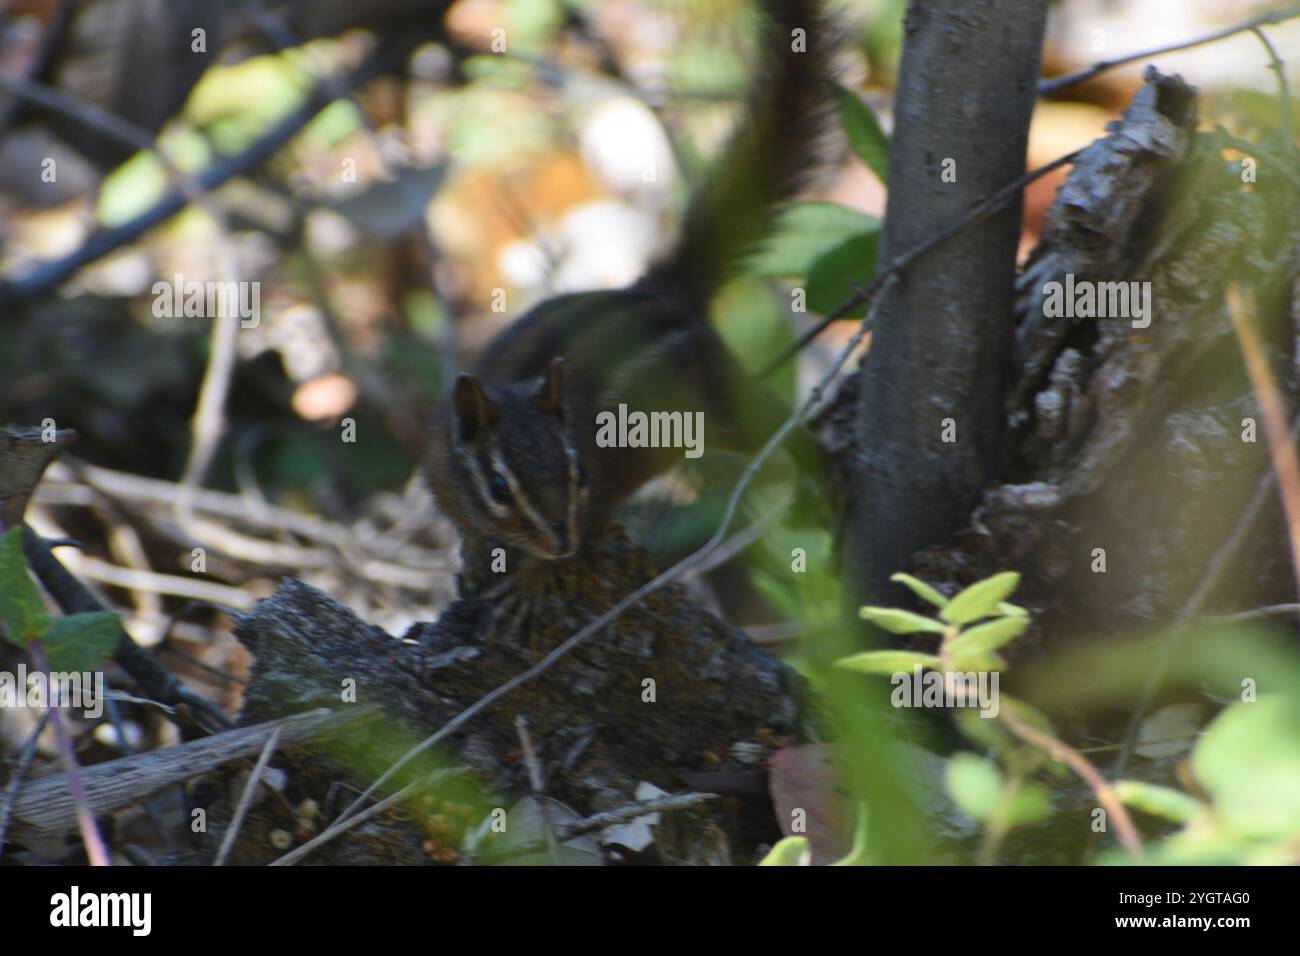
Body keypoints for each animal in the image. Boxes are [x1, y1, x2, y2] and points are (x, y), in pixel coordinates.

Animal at [425, 0, 831, 571]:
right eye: (500, 488)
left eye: (578, 474)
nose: (561, 540)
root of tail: (655, 291)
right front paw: (480, 555)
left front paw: (538, 576)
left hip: (719, 401)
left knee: (774, 426)